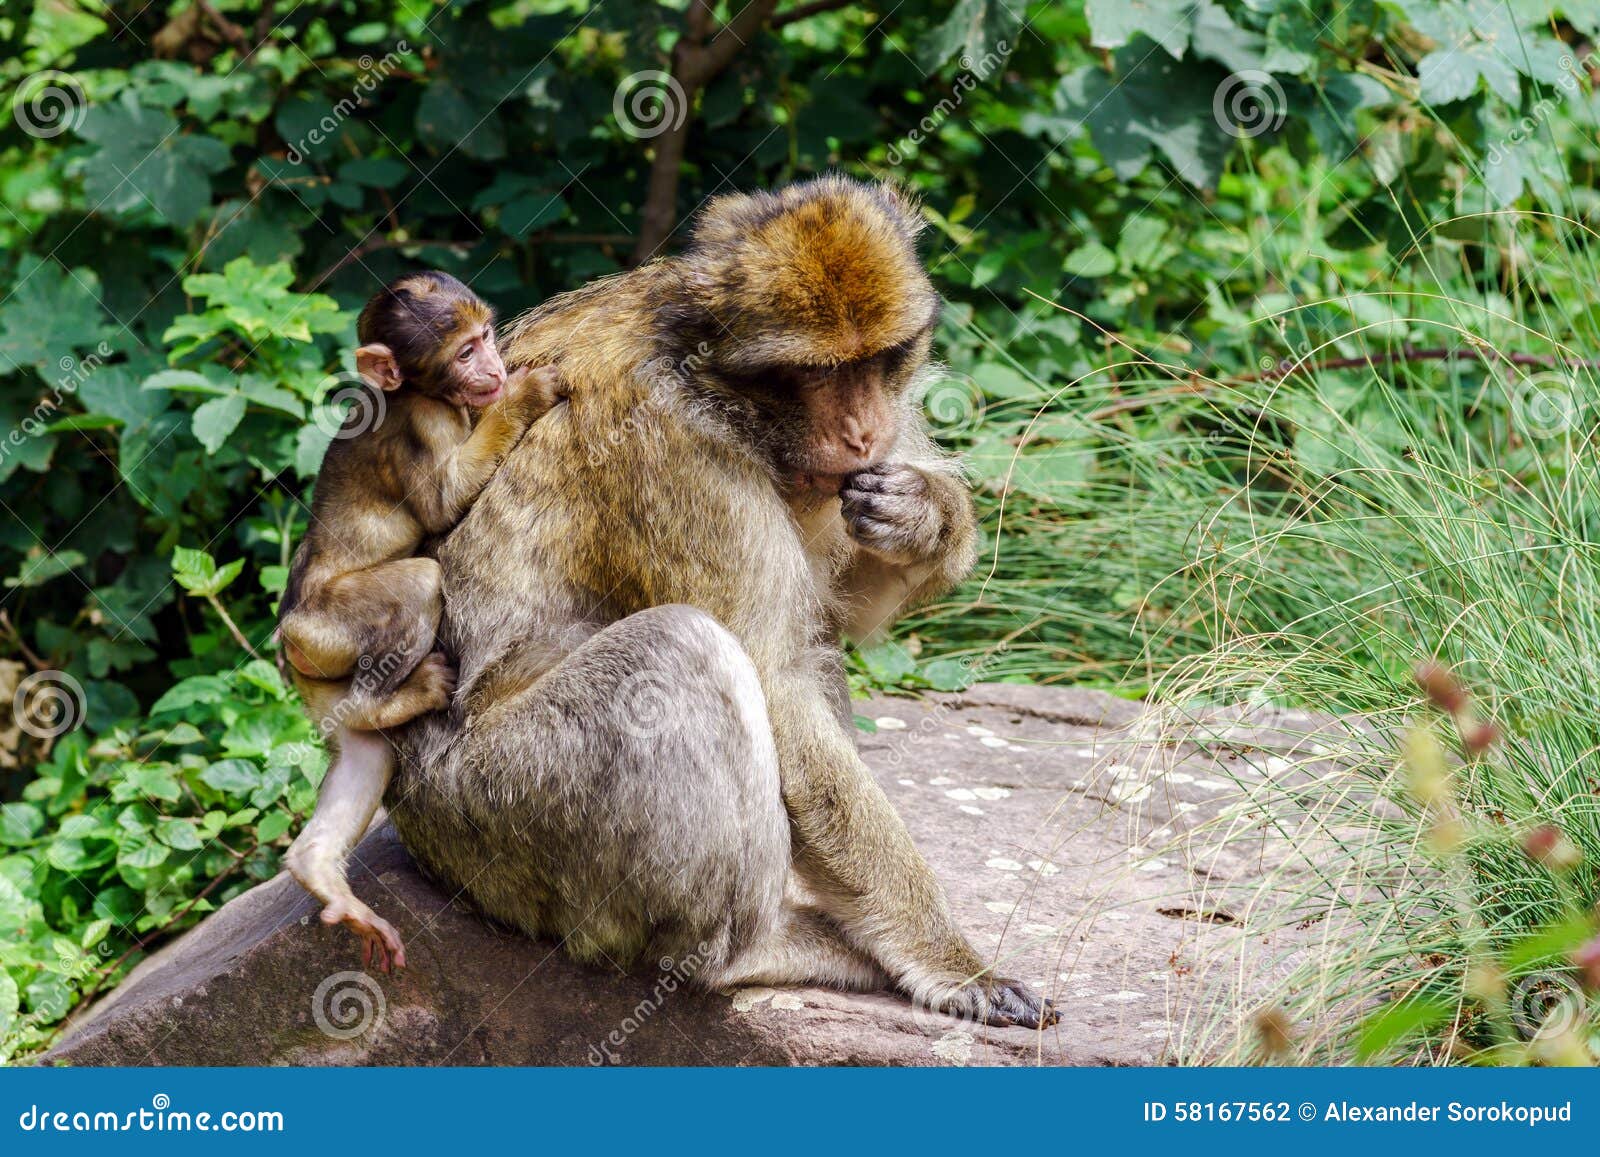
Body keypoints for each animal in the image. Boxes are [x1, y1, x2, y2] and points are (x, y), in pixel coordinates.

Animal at [276, 270, 563, 972]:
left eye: (485, 335)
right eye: (463, 352)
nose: (493, 367)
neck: (417, 391)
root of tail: (289, 635)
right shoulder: (424, 423)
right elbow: (441, 500)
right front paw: (526, 393)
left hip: (318, 678)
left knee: (363, 751)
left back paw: (318, 870)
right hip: (329, 628)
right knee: (421, 582)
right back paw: (399, 697)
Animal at [387, 177, 1057, 1029]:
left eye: (876, 362)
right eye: (817, 375)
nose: (864, 429)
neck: (707, 377)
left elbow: (839, 615)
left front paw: (928, 514)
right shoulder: (672, 450)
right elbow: (776, 682)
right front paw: (954, 961)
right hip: (503, 813)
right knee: (682, 649)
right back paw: (752, 950)